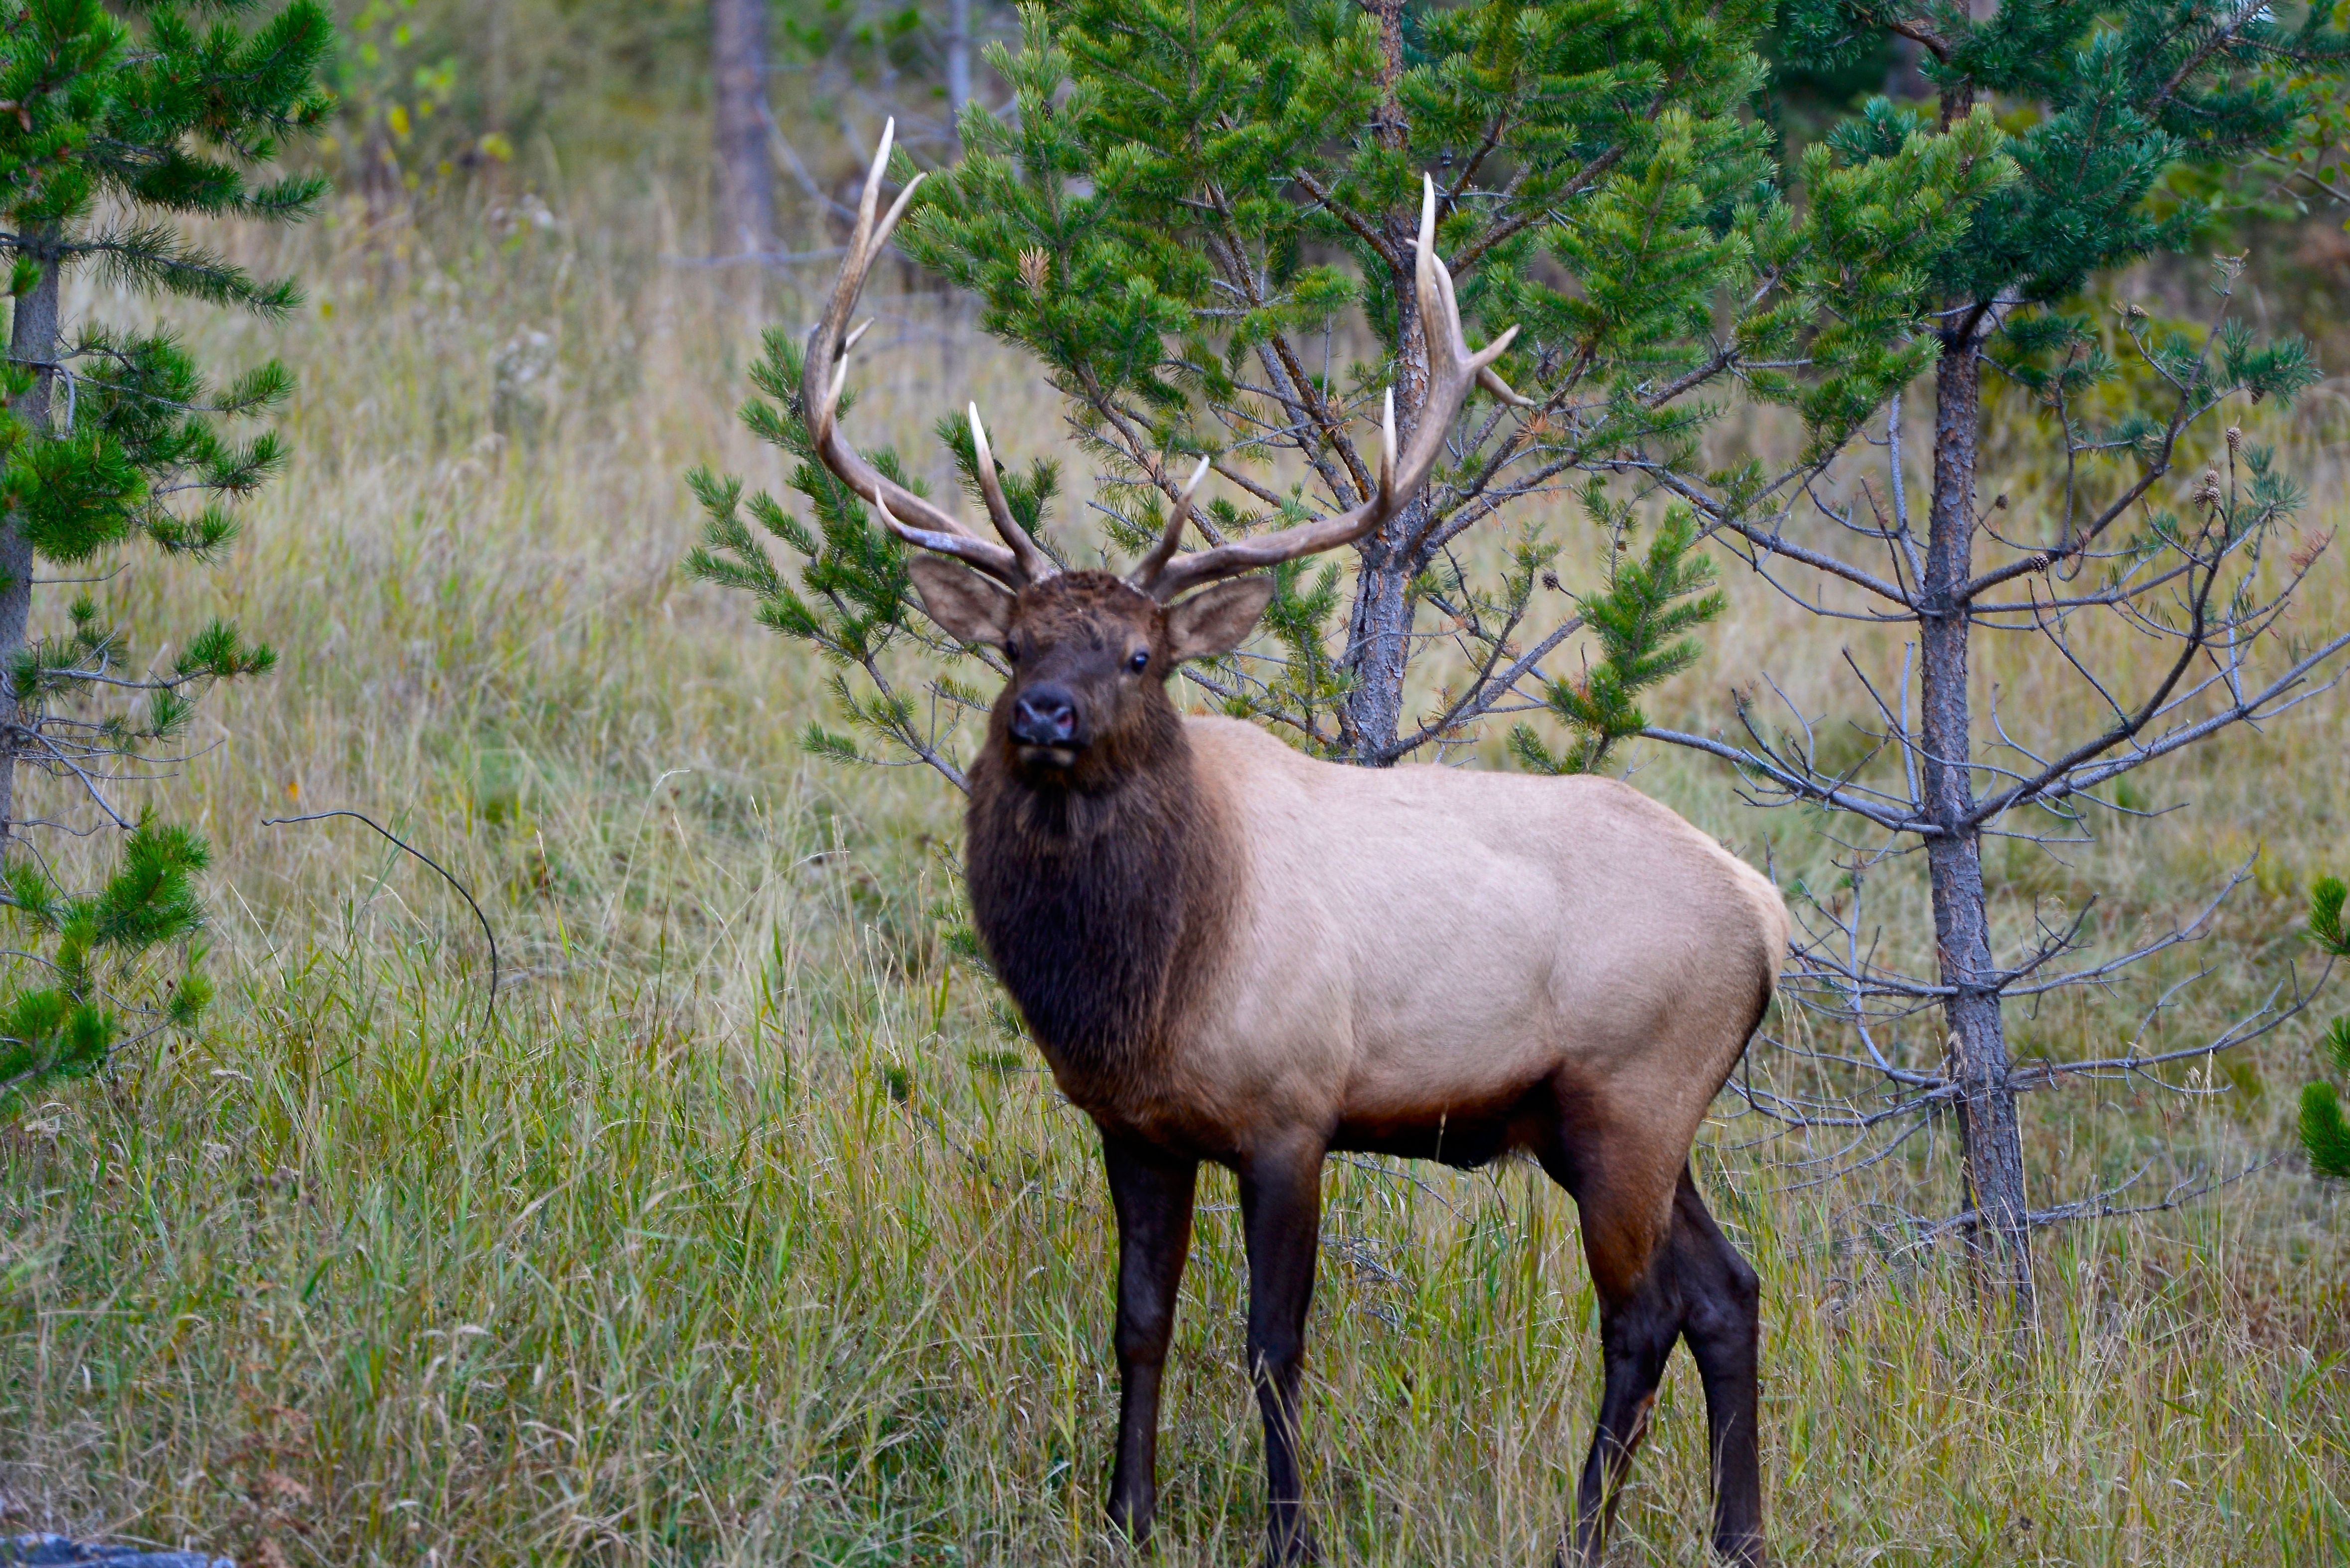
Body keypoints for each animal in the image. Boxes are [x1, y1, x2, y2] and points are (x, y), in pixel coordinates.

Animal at [795, 122, 1790, 1567]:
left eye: (1139, 656)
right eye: (1016, 643)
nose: (1043, 714)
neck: (1147, 977)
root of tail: (1769, 915)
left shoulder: (1292, 1107)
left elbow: (1272, 1345)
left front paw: (1288, 1537)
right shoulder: (1136, 1124)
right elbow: (1138, 1321)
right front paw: (1127, 1514)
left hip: (1633, 1086)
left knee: (1644, 1310)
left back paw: (1582, 1535)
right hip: (1601, 1110)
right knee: (1728, 1287)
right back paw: (1736, 1533)